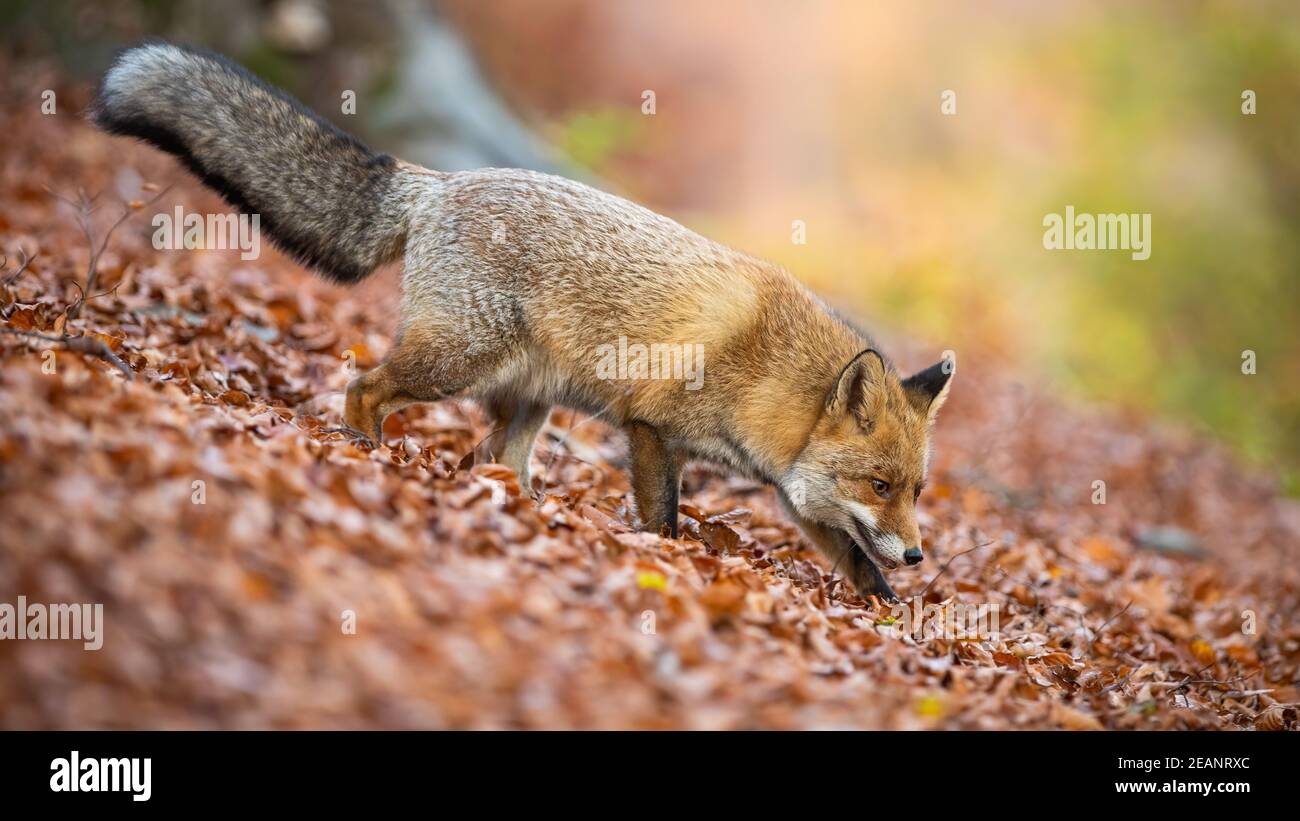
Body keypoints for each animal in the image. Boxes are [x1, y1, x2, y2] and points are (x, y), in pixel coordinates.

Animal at [90, 42, 954, 601]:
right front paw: (664, 564)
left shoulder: (793, 489)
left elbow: (852, 557)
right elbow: (667, 521)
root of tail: (437, 183)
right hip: (454, 361)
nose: (919, 553)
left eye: (914, 489)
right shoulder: (651, 426)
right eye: (881, 484)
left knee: (492, 460)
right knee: (365, 386)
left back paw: (522, 508)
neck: (769, 370)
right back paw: (367, 453)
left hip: (526, 399)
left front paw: (886, 604)